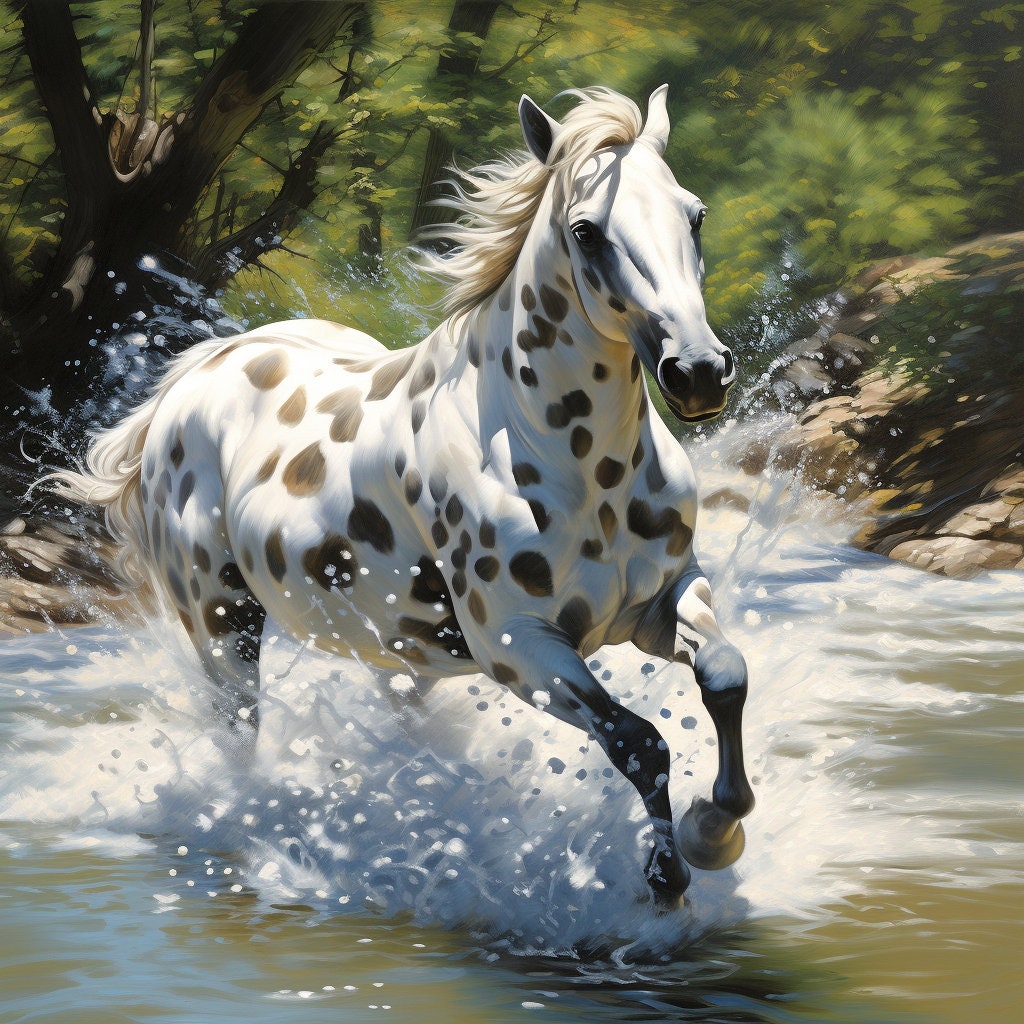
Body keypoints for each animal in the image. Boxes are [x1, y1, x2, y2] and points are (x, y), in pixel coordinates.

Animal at [55, 86, 754, 905]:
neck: (578, 466)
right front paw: (669, 876)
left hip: (395, 652)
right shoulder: (521, 648)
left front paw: (718, 827)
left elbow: (725, 676)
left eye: (693, 214)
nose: (698, 372)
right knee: (240, 746)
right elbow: (638, 741)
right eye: (586, 231)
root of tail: (192, 377)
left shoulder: (663, 599)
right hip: (224, 626)